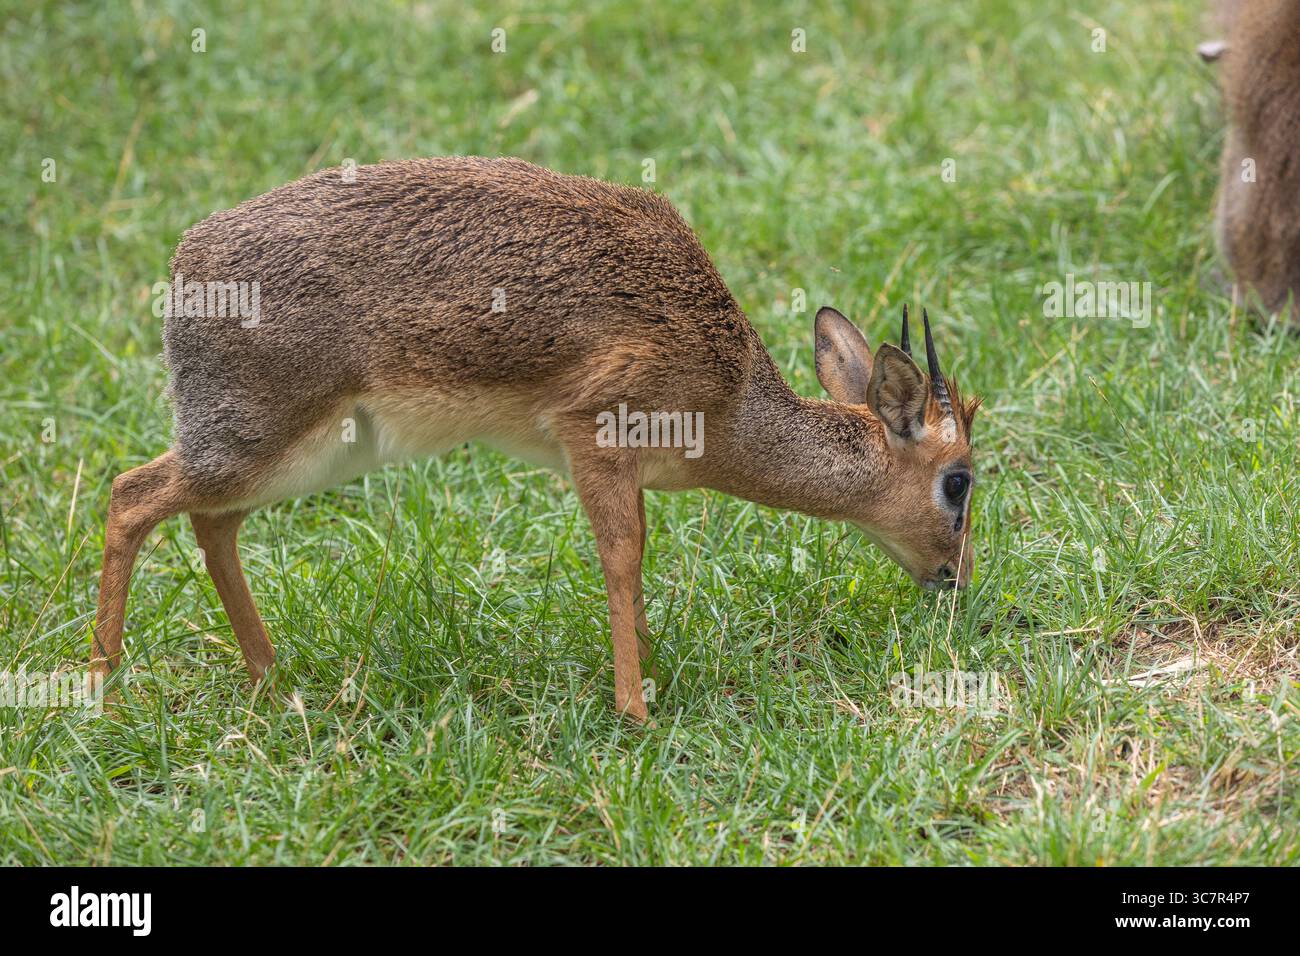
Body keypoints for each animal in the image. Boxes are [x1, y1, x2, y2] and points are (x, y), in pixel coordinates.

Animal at [92, 157, 981, 721]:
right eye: (960, 481)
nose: (956, 578)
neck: (730, 397)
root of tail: (187, 260)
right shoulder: (596, 436)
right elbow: (623, 554)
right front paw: (635, 708)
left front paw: (650, 668)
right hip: (259, 440)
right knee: (132, 494)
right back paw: (102, 687)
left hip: (312, 453)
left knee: (209, 522)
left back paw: (271, 680)